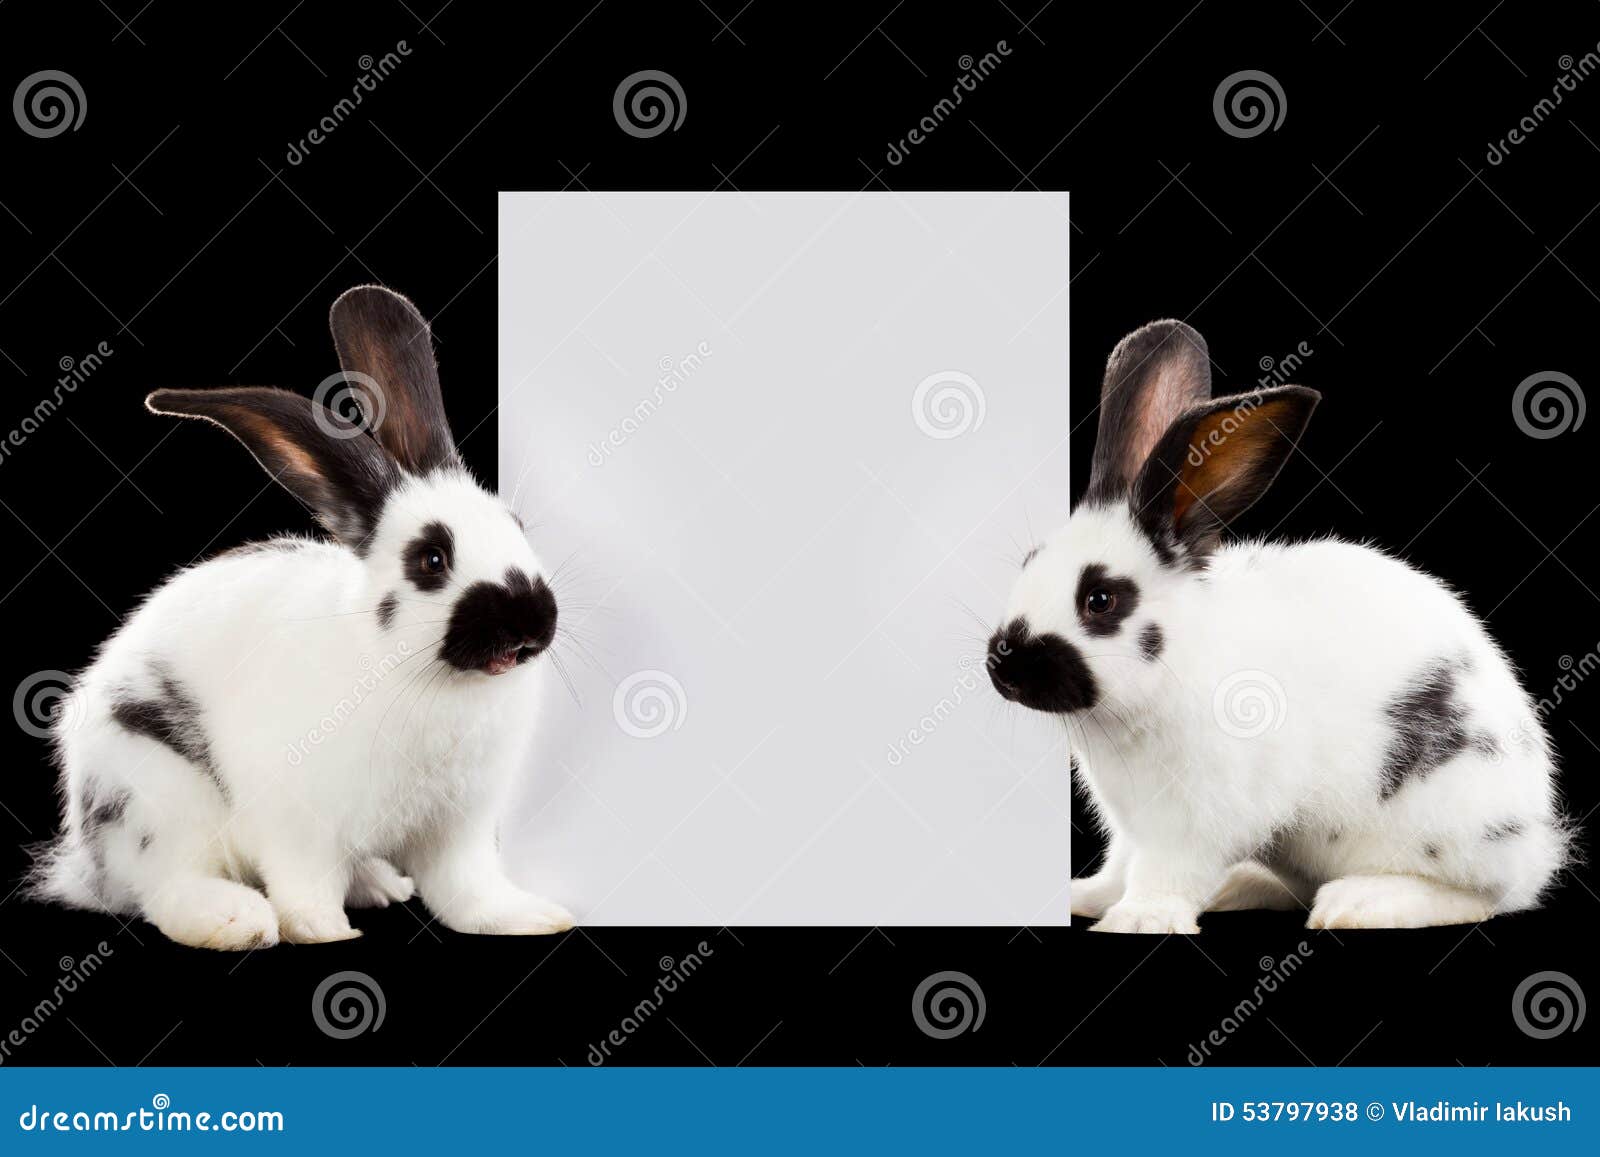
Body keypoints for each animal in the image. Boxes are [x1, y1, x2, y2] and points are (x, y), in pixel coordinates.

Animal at [29, 285, 575, 949]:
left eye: (517, 527)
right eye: (431, 559)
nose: (531, 621)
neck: (428, 679)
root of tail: (86, 861)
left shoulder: (460, 828)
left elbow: (468, 890)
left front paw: (529, 918)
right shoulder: (296, 818)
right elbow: (304, 879)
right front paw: (322, 931)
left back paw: (381, 887)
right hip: (154, 797)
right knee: (165, 886)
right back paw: (236, 921)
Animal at [988, 320, 1570, 933]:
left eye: (1100, 600)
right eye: (1028, 561)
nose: (1002, 666)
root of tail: (1536, 837)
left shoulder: (1193, 818)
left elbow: (1165, 871)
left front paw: (1140, 919)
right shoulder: (1134, 823)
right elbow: (1121, 865)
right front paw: (1087, 897)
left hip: (1444, 828)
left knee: (1482, 896)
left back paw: (1357, 904)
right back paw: (1241, 885)